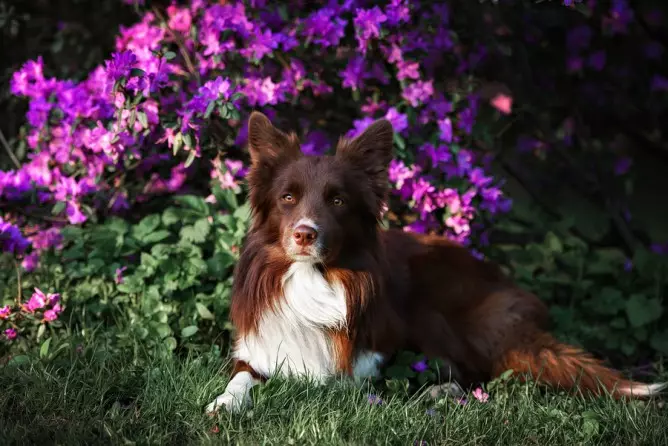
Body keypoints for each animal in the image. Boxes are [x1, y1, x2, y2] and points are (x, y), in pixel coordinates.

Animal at [206, 111, 664, 414]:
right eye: (288, 197)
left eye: (337, 201)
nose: (304, 234)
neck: (312, 278)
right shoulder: (258, 348)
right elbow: (241, 377)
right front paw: (225, 403)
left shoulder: (375, 352)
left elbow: (362, 377)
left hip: (432, 306)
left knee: (468, 371)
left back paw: (438, 393)